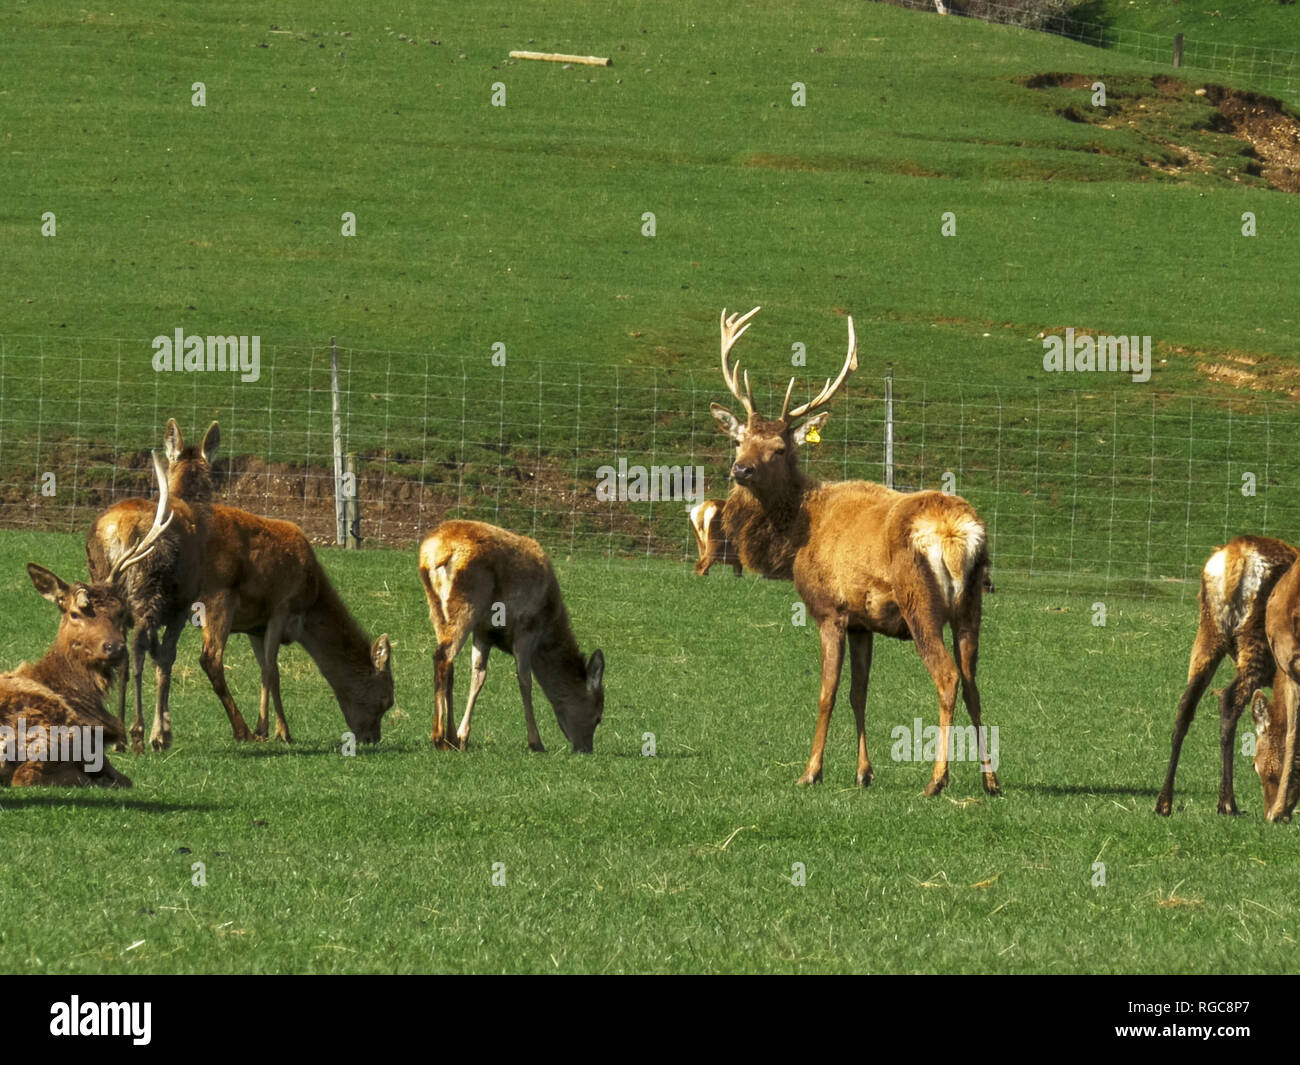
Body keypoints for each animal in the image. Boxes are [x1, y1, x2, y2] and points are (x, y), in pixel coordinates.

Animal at [87, 419, 219, 753]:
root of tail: (119, 532)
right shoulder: (183, 605)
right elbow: (166, 659)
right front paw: (161, 733)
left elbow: (159, 654)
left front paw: (164, 726)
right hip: (150, 589)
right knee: (137, 649)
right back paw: (136, 732)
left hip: (105, 582)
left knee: (119, 650)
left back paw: (119, 734)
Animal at [418, 519, 605, 753]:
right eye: (598, 717)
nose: (586, 749)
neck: (548, 626)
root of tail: (436, 552)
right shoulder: (527, 628)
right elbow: (524, 679)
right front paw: (536, 742)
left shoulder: (483, 632)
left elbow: (478, 676)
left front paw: (463, 737)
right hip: (468, 602)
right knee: (443, 657)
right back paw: (438, 737)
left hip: (437, 609)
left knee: (447, 663)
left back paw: (449, 737)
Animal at [708, 306, 998, 796]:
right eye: (739, 439)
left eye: (780, 447)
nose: (740, 469)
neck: (797, 536)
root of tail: (959, 533)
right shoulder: (864, 620)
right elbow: (858, 693)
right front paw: (864, 772)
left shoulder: (830, 609)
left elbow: (827, 692)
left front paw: (811, 771)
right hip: (971, 602)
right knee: (974, 679)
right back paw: (990, 779)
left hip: (921, 602)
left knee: (947, 677)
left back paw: (936, 780)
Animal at [1154, 535, 1298, 817]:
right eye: (1255, 766)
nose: (1271, 808)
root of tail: (1235, 554)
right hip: (1255, 641)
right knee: (1229, 700)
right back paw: (1227, 802)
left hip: (1209, 632)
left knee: (1186, 704)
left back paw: (1164, 801)